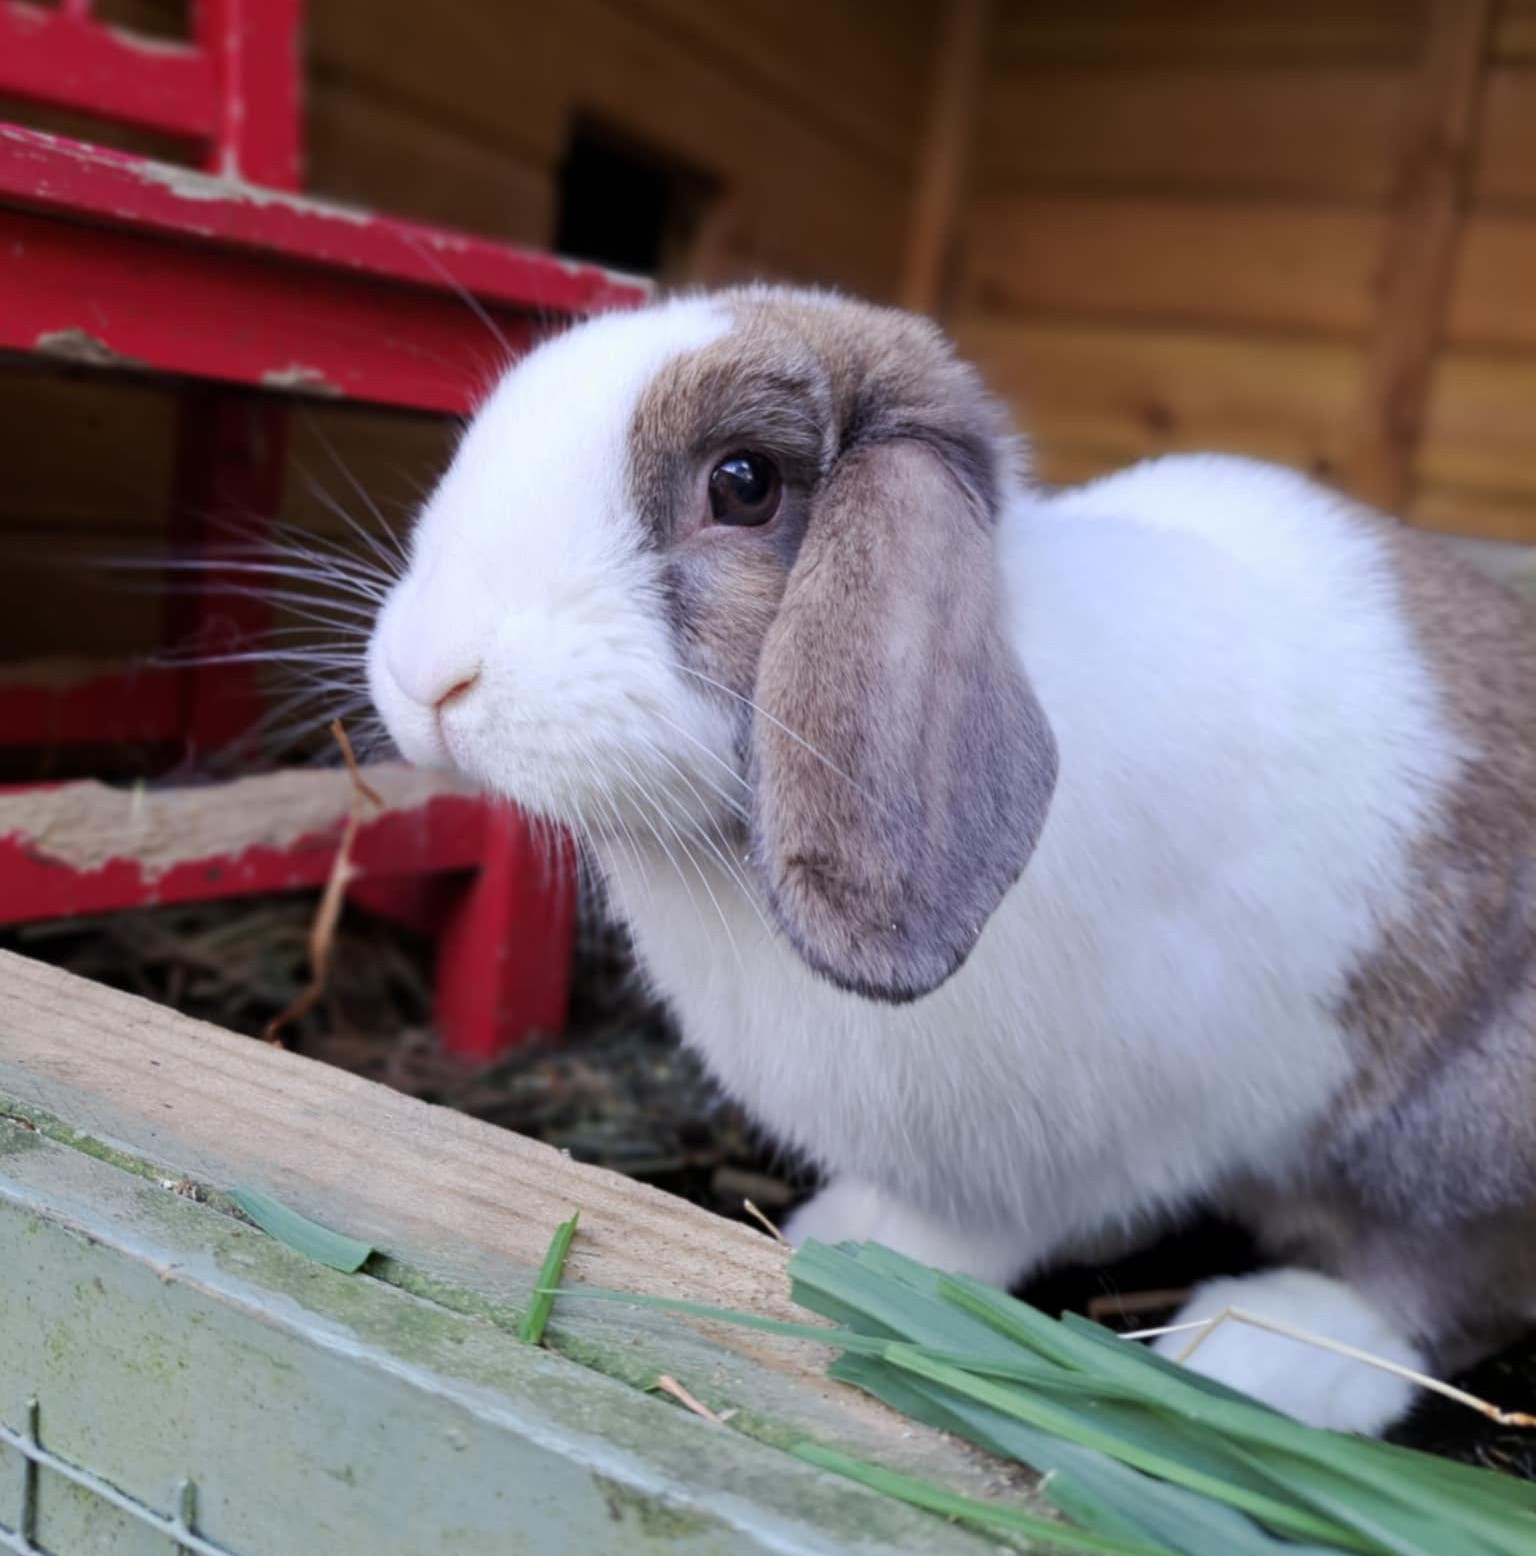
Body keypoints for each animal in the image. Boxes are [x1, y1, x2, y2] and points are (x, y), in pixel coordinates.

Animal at [366, 282, 1536, 1437]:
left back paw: (1261, 1353)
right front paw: (831, 1229)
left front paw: (878, 1274)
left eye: (743, 484)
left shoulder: (1073, 1140)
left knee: (1443, 1276)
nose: (430, 674)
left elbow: (972, 1234)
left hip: (1445, 1123)